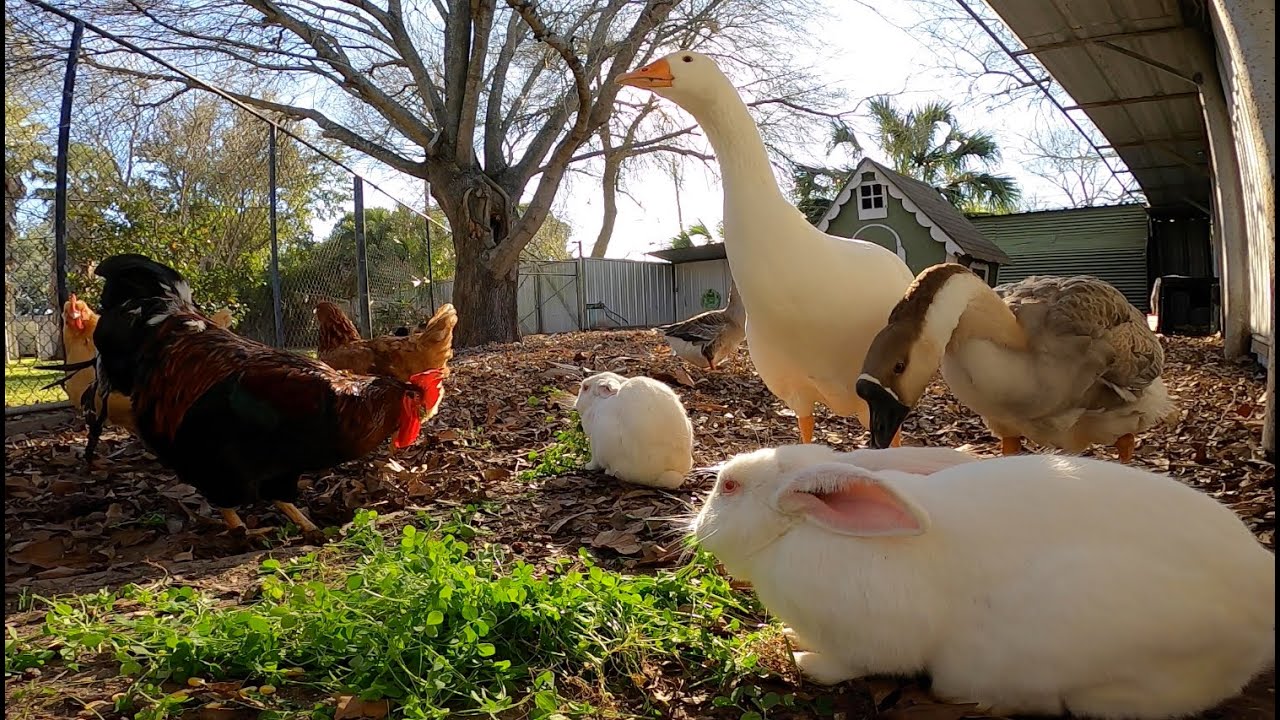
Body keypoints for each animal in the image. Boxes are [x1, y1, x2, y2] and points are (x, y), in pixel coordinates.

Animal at [692, 445, 1275, 719]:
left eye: (729, 487)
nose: (694, 527)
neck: (797, 534)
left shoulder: (870, 642)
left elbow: (850, 665)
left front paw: (803, 659)